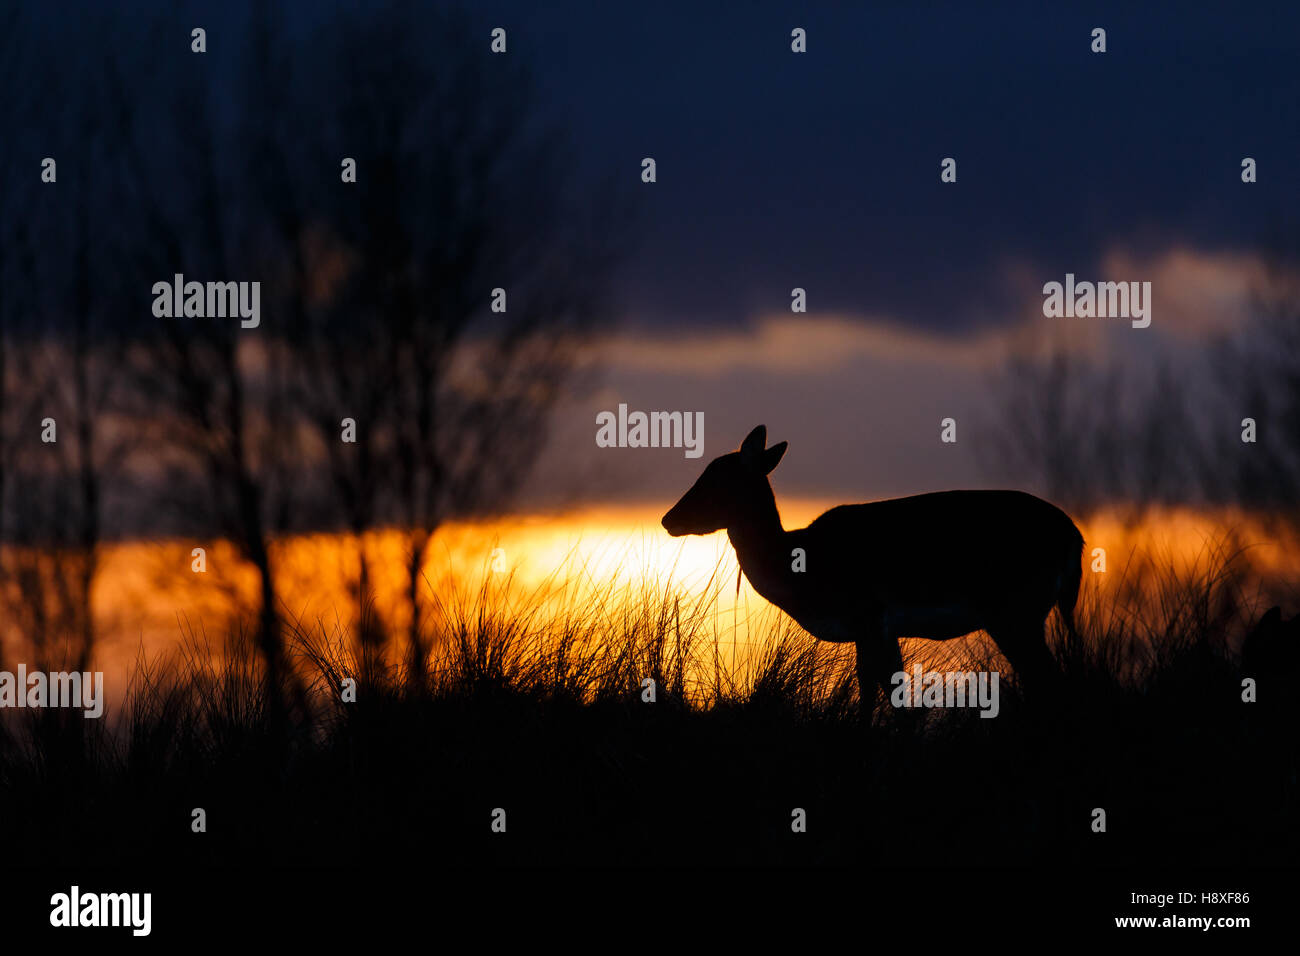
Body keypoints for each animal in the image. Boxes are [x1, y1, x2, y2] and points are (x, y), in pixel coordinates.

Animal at [661, 425, 1084, 706]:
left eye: (717, 478)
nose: (668, 519)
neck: (801, 566)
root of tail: (1075, 538)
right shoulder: (881, 629)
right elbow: (892, 692)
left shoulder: (866, 615)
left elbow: (871, 690)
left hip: (1014, 612)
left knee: (1051, 681)